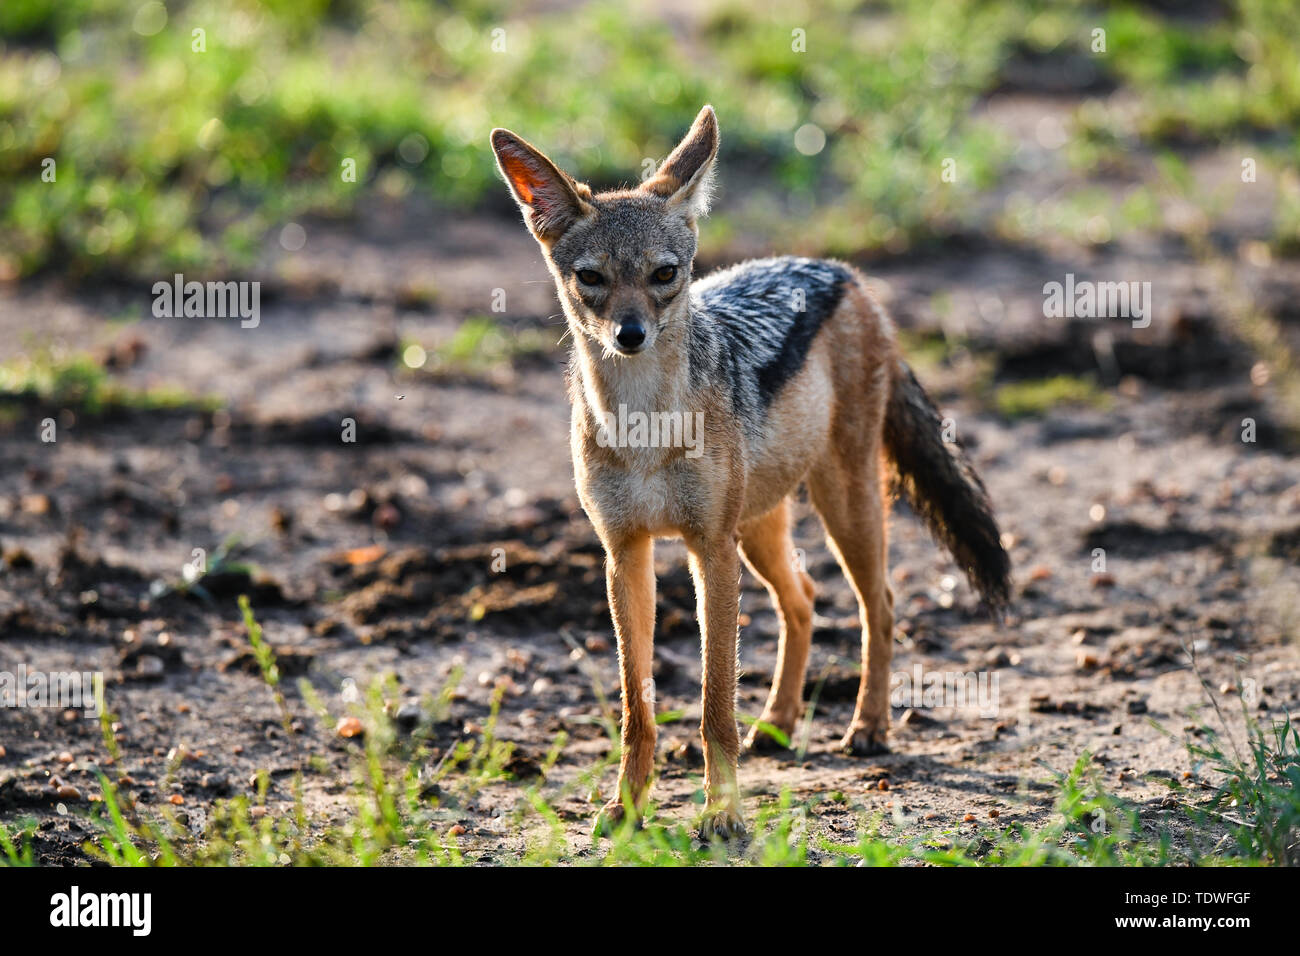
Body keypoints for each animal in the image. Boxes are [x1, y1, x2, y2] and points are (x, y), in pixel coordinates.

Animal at [490, 105, 1011, 839]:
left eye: (664, 274)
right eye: (591, 278)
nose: (629, 335)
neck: (644, 427)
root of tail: (843, 273)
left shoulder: (709, 549)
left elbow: (715, 704)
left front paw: (722, 814)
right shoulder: (625, 554)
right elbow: (637, 710)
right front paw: (627, 807)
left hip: (839, 511)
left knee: (878, 603)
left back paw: (869, 727)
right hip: (762, 533)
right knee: (805, 600)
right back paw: (780, 722)